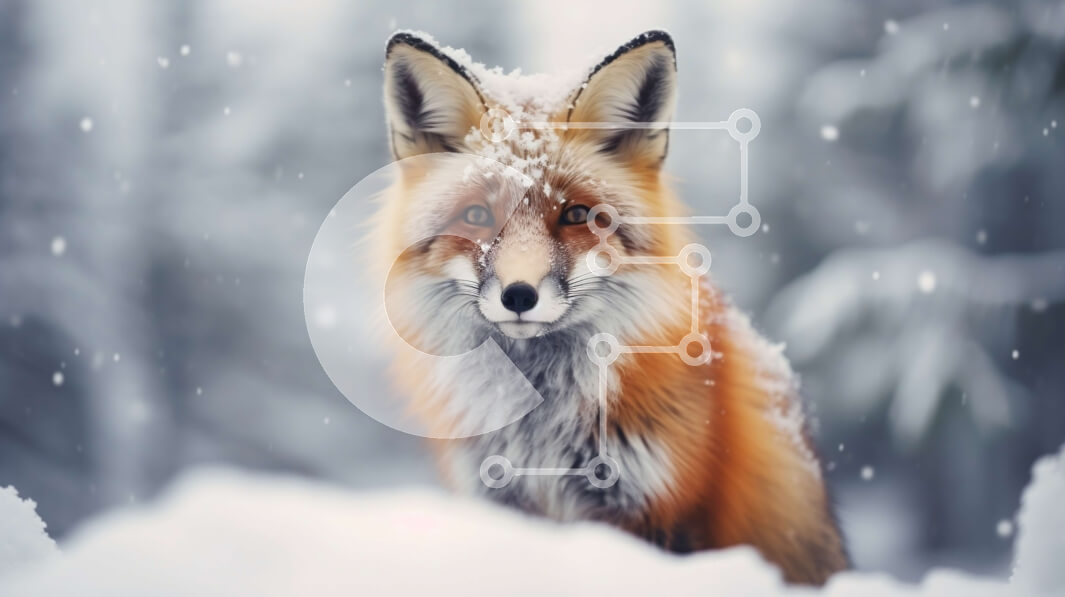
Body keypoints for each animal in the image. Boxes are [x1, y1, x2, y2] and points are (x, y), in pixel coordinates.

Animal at [370, 30, 848, 585]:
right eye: (477, 216)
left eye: (577, 215)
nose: (519, 295)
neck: (543, 429)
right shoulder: (504, 502)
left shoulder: (662, 506)